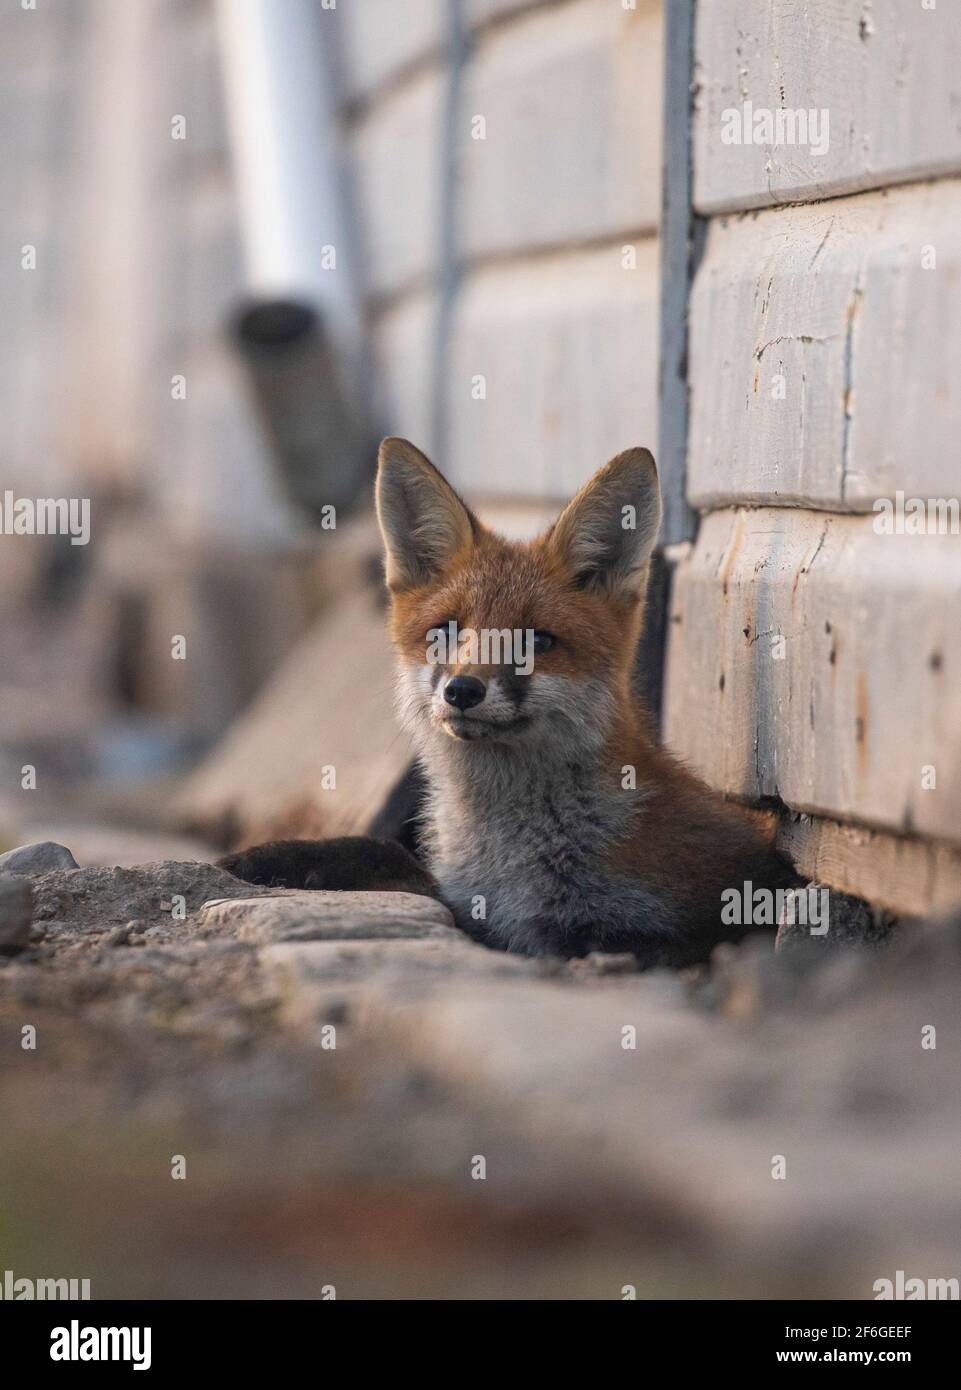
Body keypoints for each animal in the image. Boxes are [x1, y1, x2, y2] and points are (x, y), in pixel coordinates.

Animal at [222, 437, 801, 967]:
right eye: (446, 631)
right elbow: (383, 853)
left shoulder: (707, 910)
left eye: (536, 641)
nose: (462, 690)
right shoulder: (470, 906)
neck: (516, 856)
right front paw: (265, 859)